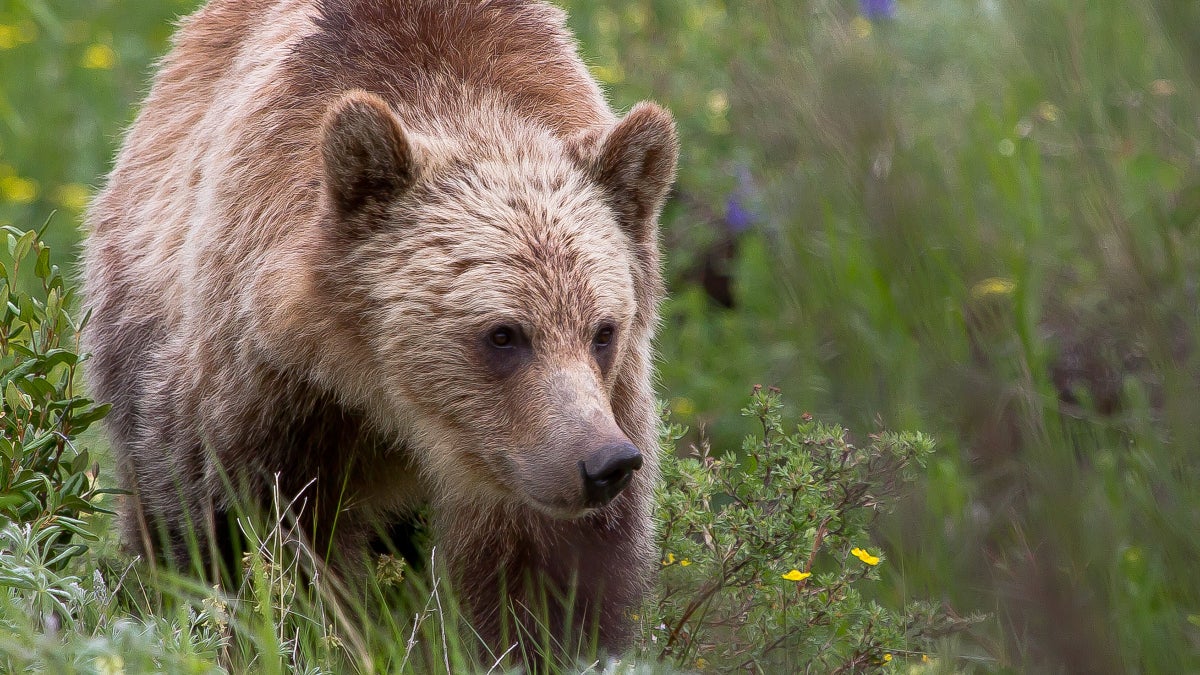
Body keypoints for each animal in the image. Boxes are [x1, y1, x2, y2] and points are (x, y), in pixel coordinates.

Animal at [82, 0, 677, 662]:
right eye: (503, 334)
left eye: (603, 330)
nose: (604, 463)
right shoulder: (269, 391)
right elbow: (253, 534)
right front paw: (292, 632)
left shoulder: (557, 434)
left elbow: (547, 572)